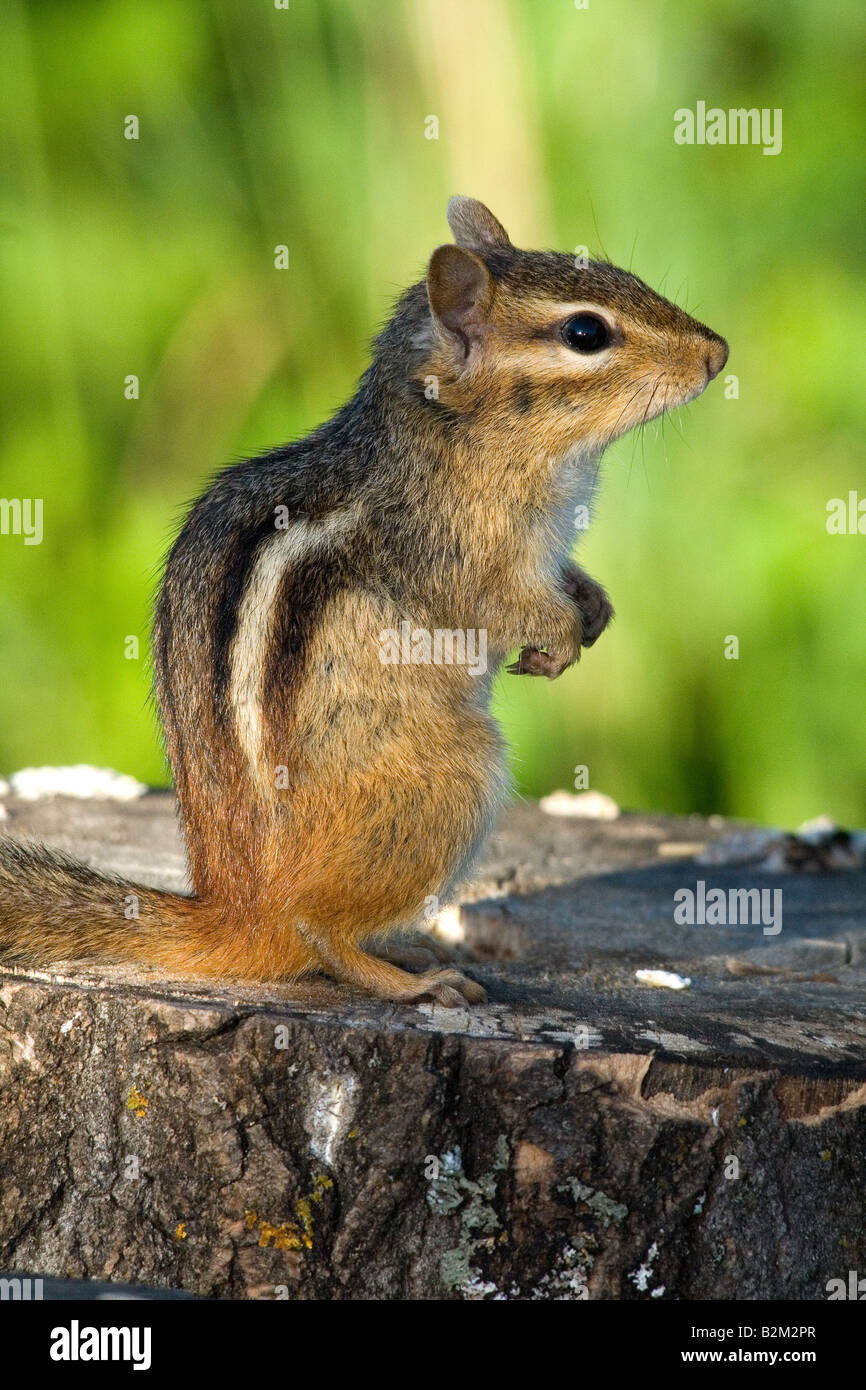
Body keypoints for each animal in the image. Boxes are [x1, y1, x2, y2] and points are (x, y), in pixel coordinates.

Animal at [0, 198, 727, 1006]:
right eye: (586, 333)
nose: (718, 353)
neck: (455, 434)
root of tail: (238, 909)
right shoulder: (461, 556)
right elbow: (503, 606)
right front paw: (562, 636)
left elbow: (566, 582)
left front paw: (592, 606)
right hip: (447, 782)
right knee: (319, 933)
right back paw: (412, 981)